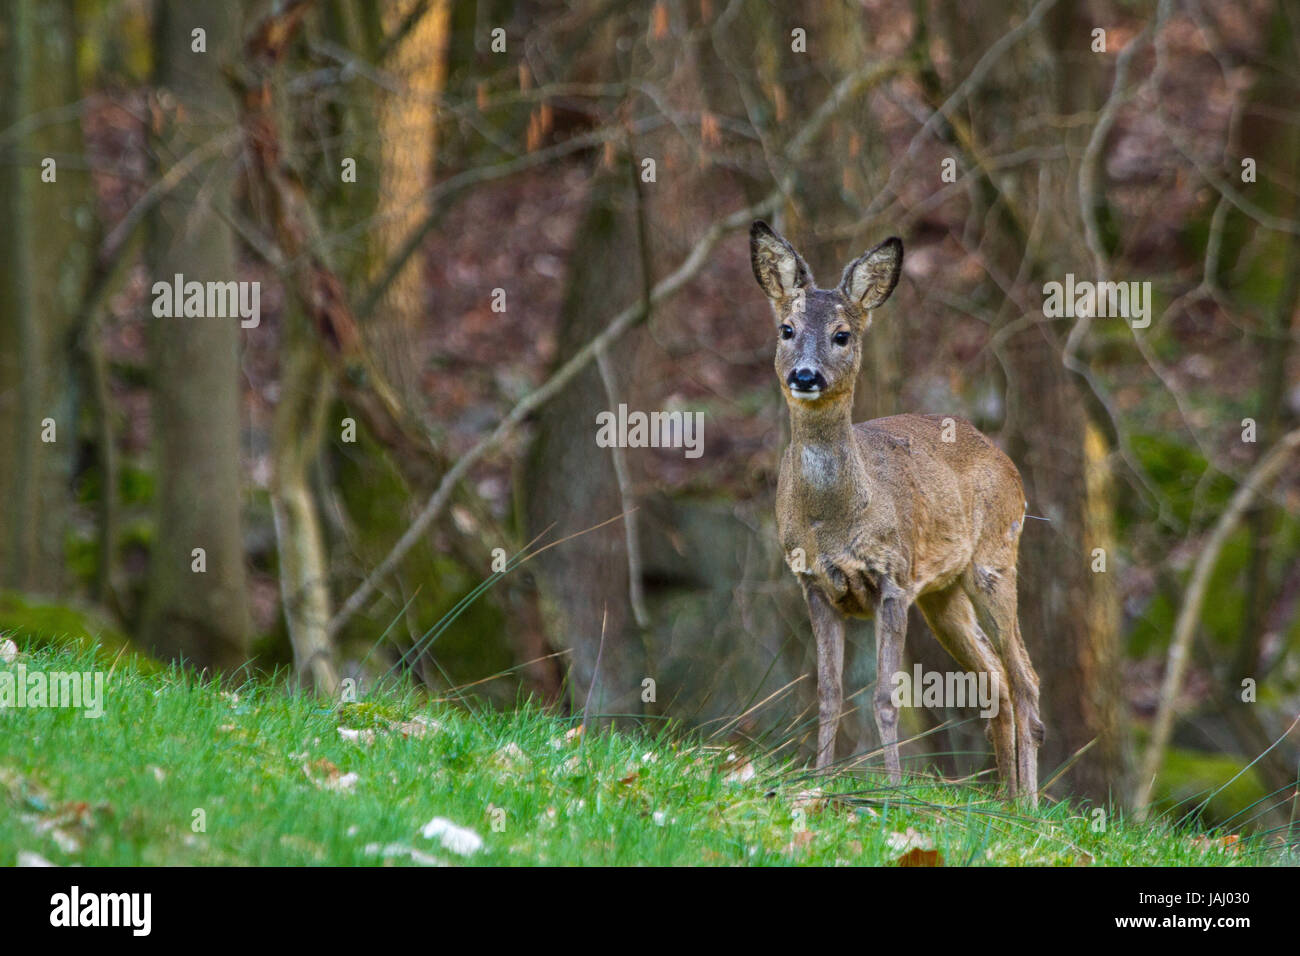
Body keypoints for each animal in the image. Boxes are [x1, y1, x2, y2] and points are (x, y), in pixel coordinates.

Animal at [749, 220, 1044, 804]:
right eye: (787, 328)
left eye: (842, 334)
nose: (805, 376)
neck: (833, 520)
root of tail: (1007, 461)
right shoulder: (813, 583)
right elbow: (829, 692)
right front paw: (817, 780)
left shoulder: (893, 579)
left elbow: (886, 697)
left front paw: (893, 788)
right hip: (942, 595)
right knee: (995, 676)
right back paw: (1003, 796)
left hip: (995, 559)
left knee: (1024, 675)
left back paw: (1027, 803)